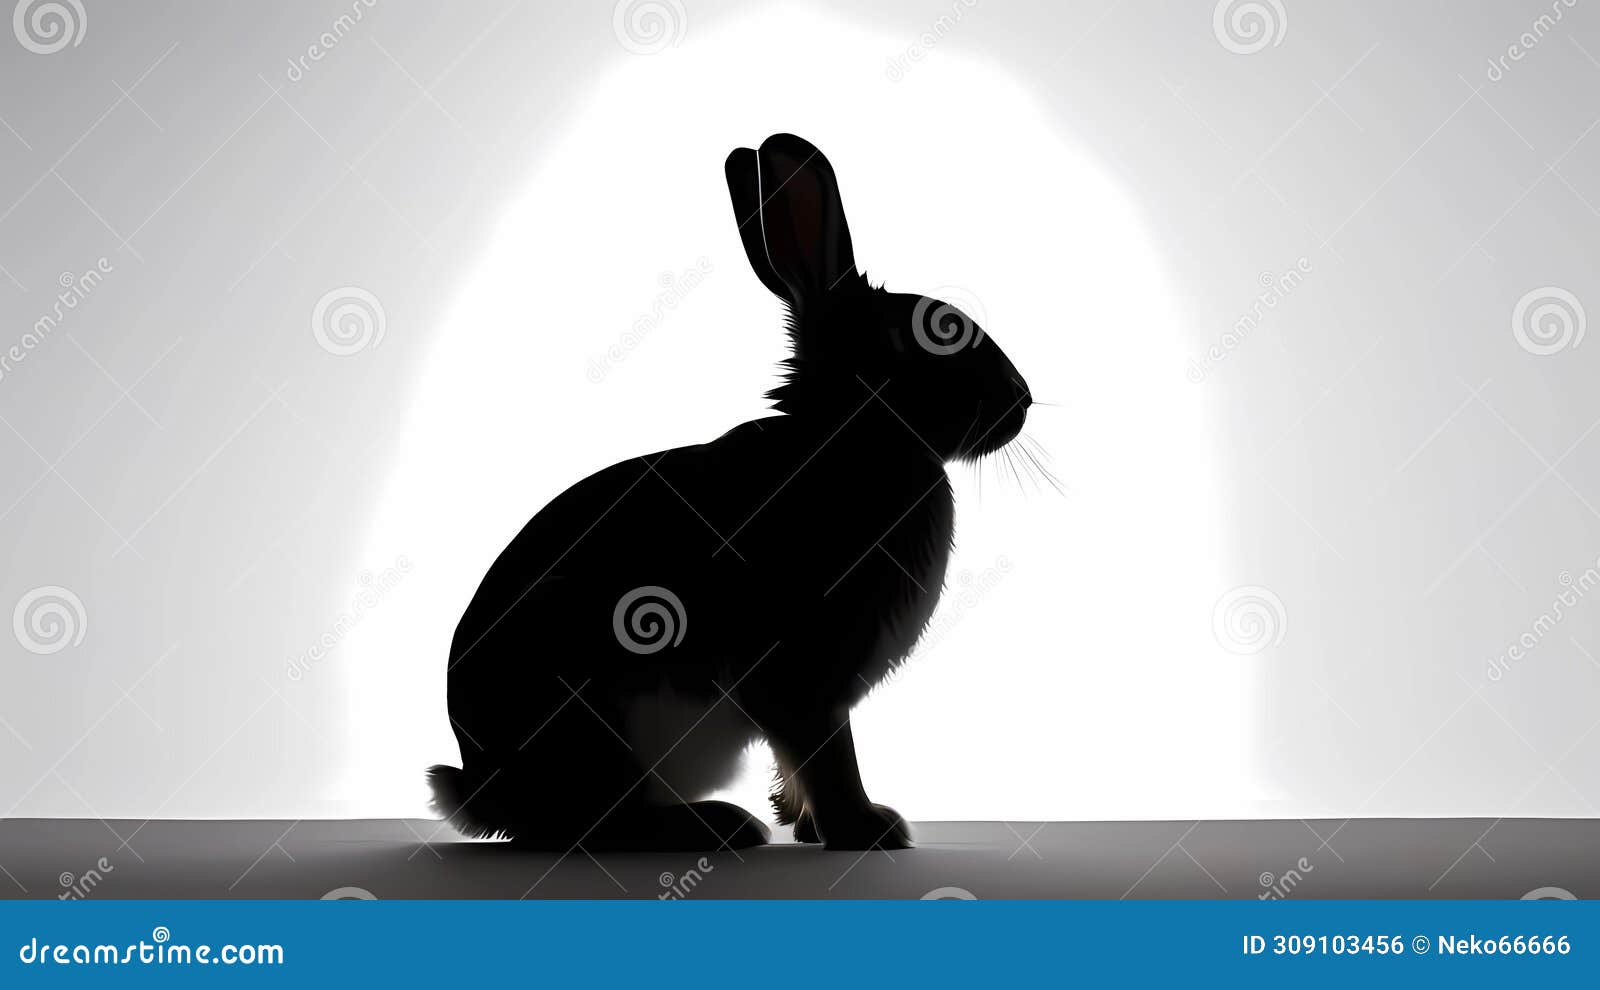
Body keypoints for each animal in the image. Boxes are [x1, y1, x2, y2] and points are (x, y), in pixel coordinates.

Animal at [428, 133, 1031, 851]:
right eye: (935, 336)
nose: (1023, 401)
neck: (852, 434)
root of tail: (482, 788)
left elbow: (796, 760)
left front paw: (807, 825)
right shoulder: (801, 674)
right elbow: (829, 754)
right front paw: (866, 829)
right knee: (594, 823)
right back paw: (716, 826)